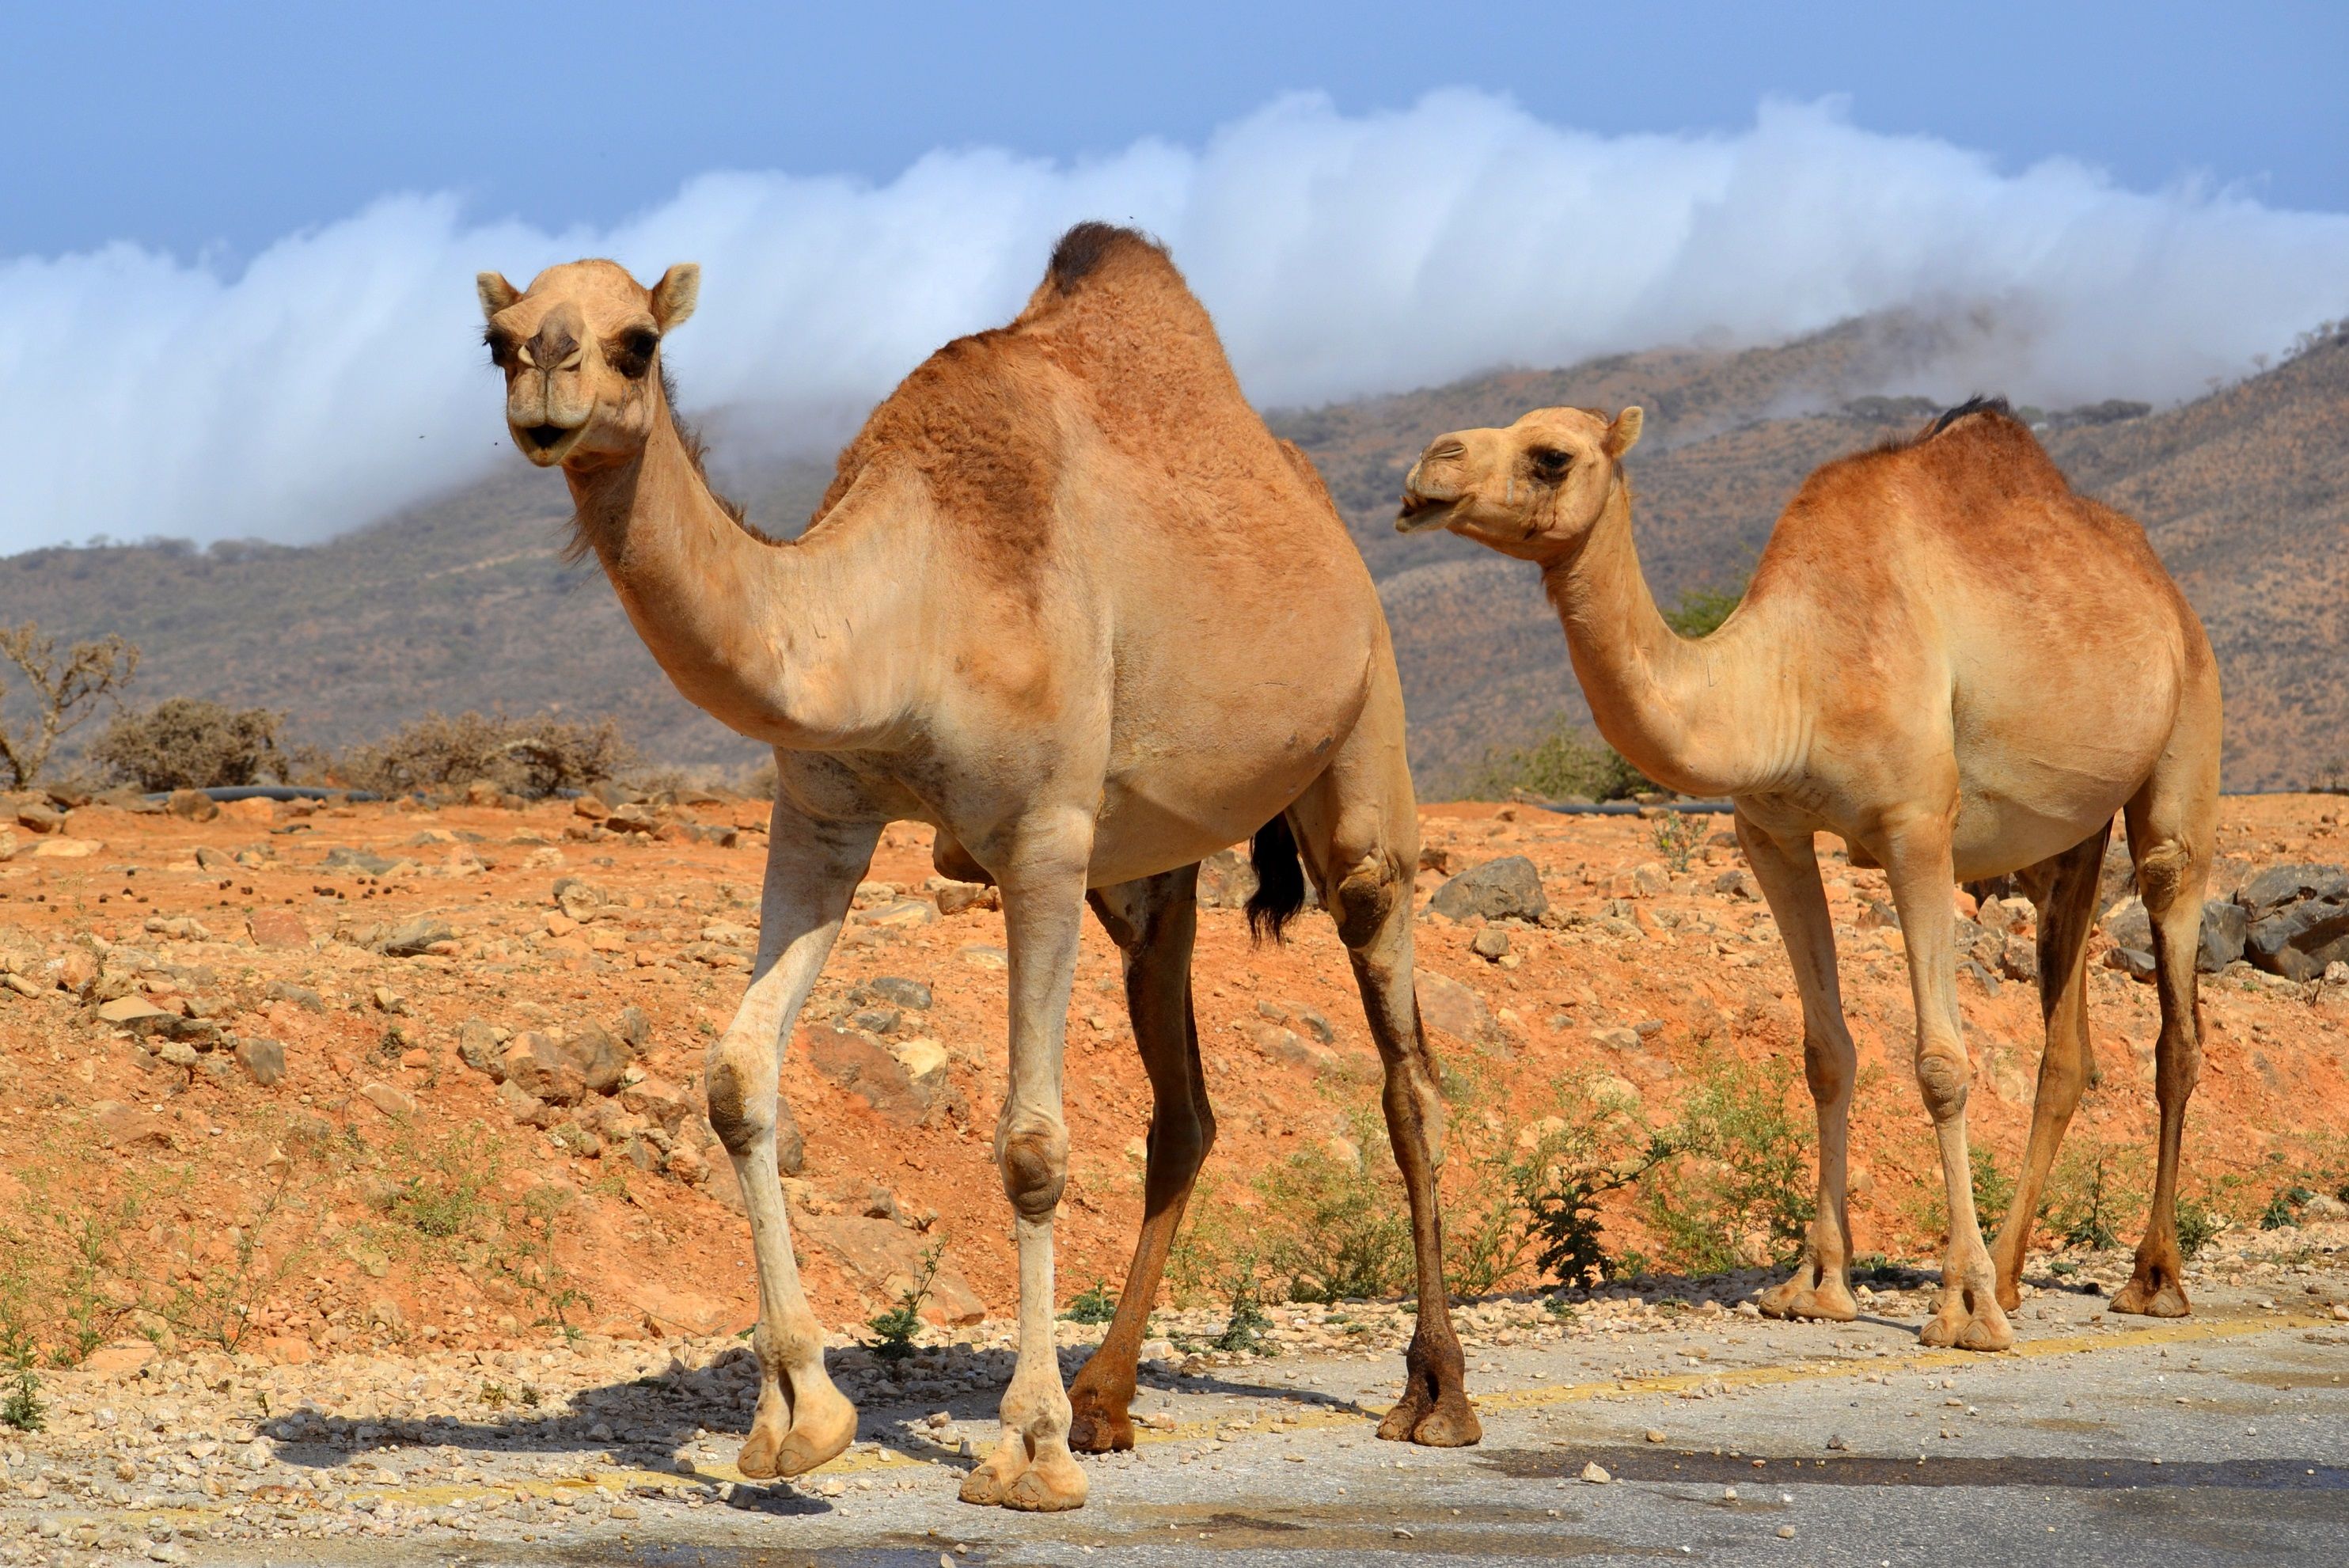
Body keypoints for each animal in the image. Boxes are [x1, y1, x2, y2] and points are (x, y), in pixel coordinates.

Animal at [474, 224, 1480, 1511]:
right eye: (498, 339)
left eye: (636, 341)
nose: (546, 389)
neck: (908, 604)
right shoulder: (822, 812)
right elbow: (738, 1078)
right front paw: (795, 1418)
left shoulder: (1041, 837)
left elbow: (1032, 1147)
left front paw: (1027, 1451)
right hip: (1146, 872)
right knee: (1186, 1108)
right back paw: (1109, 1399)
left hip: (1362, 742)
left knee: (1405, 1066)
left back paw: (1432, 1395)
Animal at [1395, 400, 2220, 1349]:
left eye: (1552, 455)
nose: (1428, 468)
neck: (1789, 676)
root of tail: (2165, 592)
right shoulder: (1771, 832)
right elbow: (1825, 1052)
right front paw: (1817, 1282)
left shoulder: (1916, 827)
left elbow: (1941, 1065)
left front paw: (1962, 1306)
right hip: (2068, 837)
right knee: (2068, 1045)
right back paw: (2016, 1274)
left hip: (2185, 751)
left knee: (2174, 1003)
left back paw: (2146, 1279)